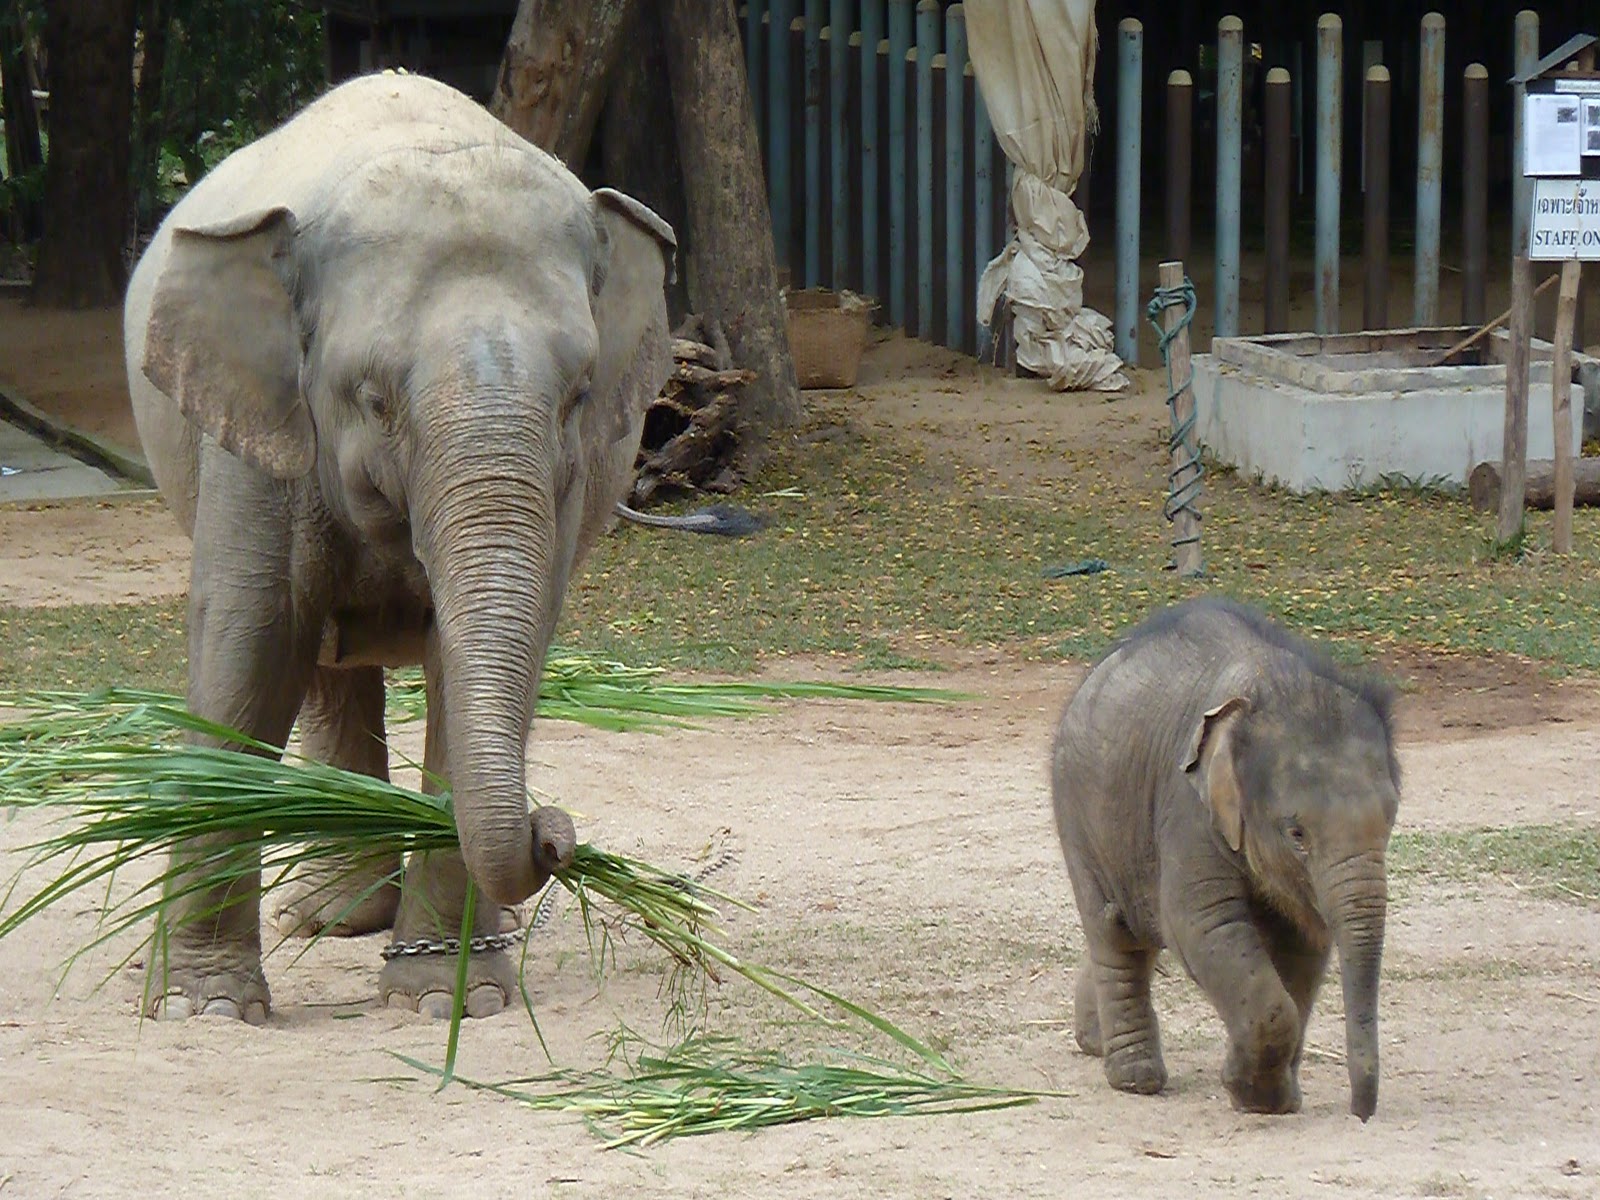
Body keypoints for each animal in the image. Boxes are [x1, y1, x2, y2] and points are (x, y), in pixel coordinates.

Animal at [122, 71, 682, 1023]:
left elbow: (480, 664)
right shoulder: (259, 441)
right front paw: (207, 1008)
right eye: (373, 397)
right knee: (319, 659)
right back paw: (332, 916)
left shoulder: (567, 484)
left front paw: (451, 1000)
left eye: (578, 394)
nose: (557, 837)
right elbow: (248, 652)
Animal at [1050, 598, 1399, 1120]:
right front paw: (1253, 1094)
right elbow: (1200, 923)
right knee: (1114, 933)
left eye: (1391, 817)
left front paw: (1270, 1096)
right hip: (1079, 814)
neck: (1275, 682)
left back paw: (1092, 1041)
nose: (1361, 1115)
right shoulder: (1189, 810)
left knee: (1131, 931)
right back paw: (1136, 1079)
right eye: (1296, 833)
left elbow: (1303, 945)